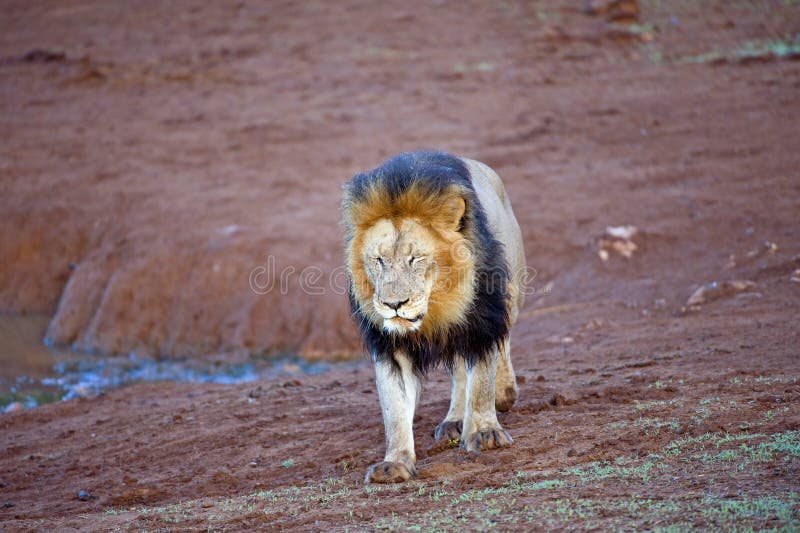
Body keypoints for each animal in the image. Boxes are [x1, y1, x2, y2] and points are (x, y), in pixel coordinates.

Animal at [342, 150, 526, 483]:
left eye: (416, 259)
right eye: (378, 259)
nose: (394, 304)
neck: (436, 308)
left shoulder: (480, 322)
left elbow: (482, 381)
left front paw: (485, 434)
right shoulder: (390, 348)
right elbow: (395, 409)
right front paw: (395, 463)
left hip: (512, 292)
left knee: (503, 336)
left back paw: (504, 392)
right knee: (459, 369)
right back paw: (455, 420)